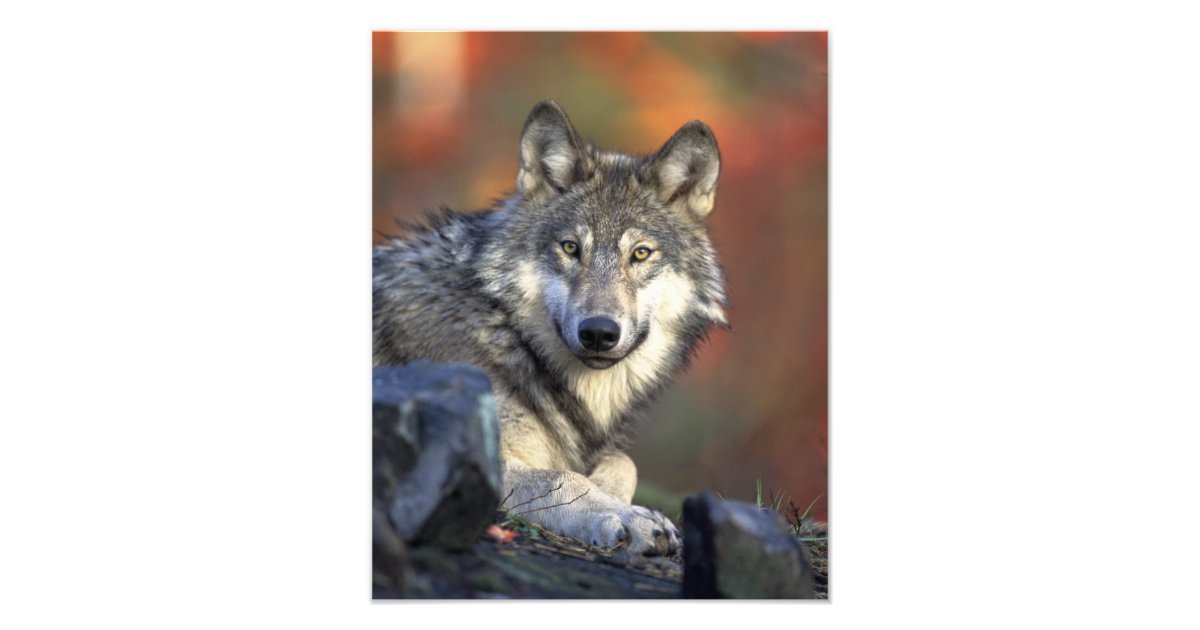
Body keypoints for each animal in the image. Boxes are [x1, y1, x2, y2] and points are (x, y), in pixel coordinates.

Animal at [373, 100, 728, 557]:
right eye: (571, 248)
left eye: (640, 253)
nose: (599, 333)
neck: (507, 334)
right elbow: (563, 477)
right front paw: (627, 517)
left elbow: (623, 462)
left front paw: (616, 499)